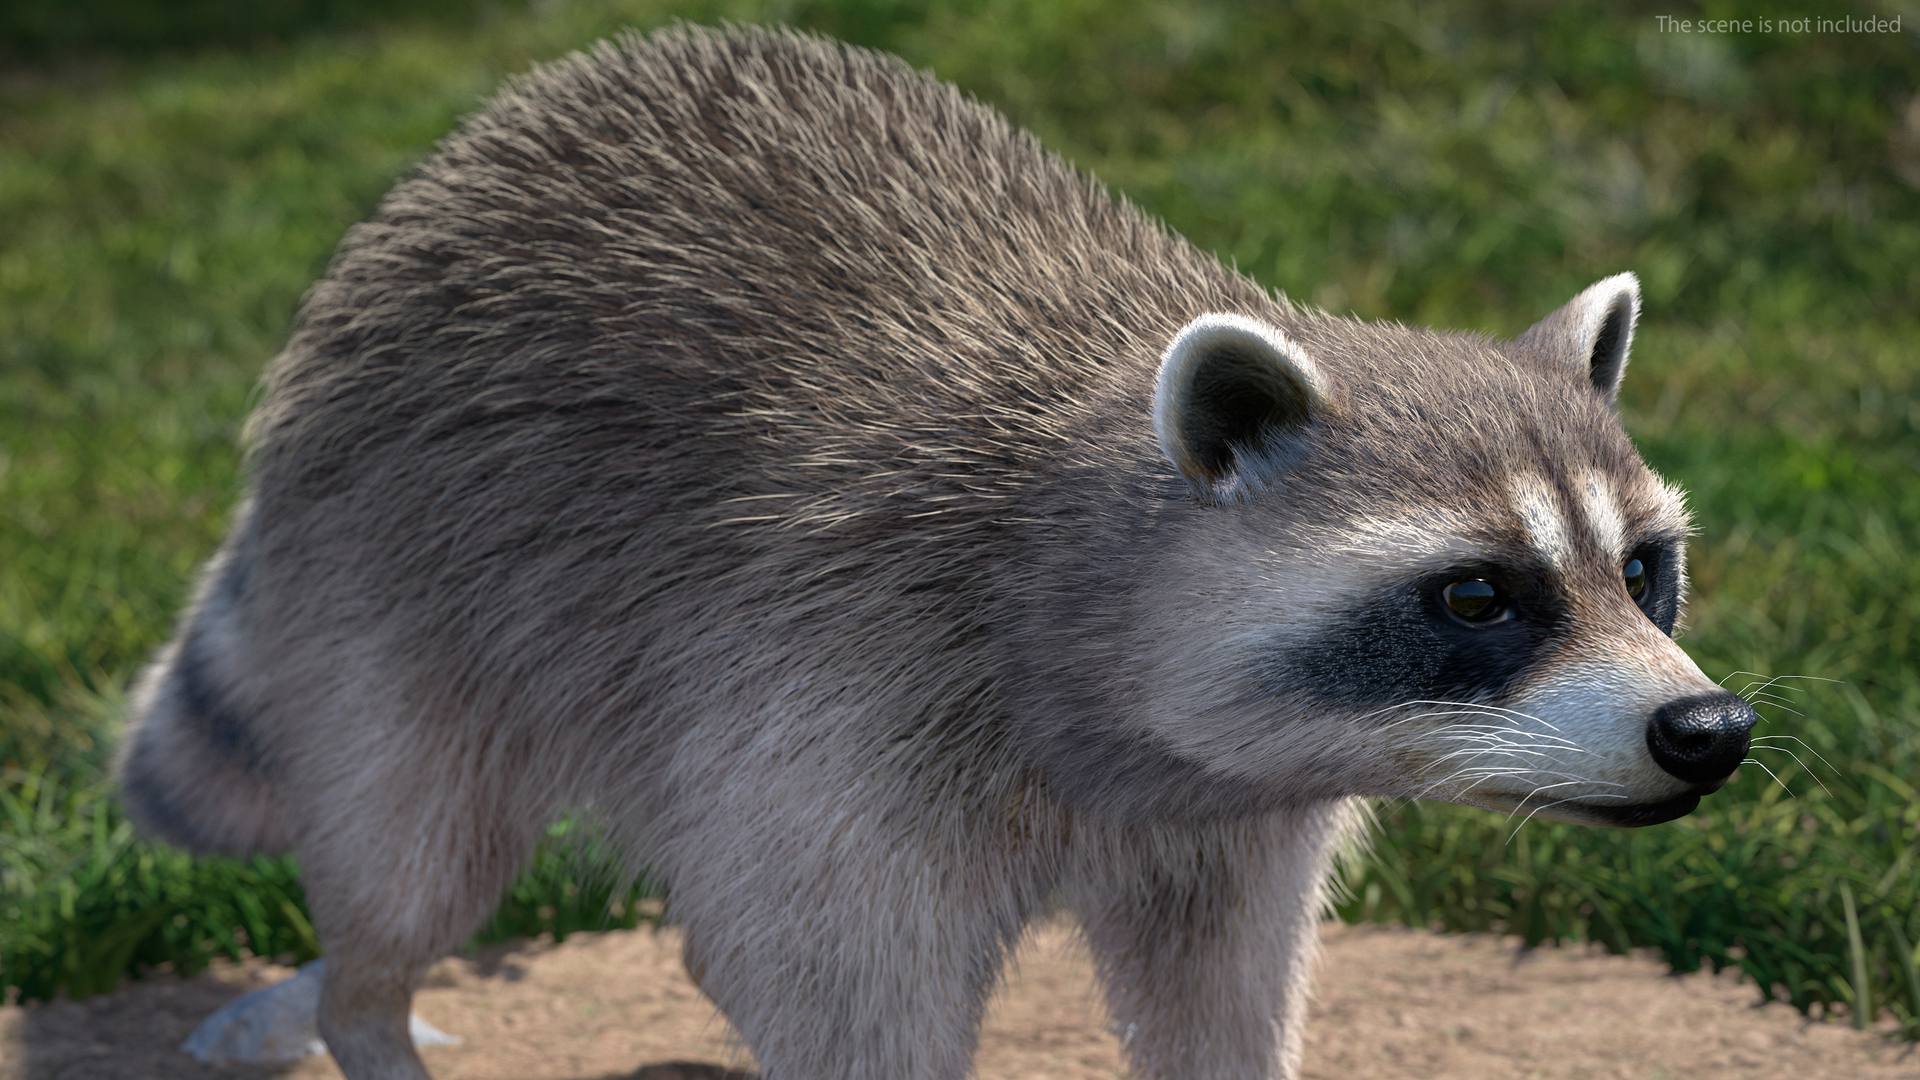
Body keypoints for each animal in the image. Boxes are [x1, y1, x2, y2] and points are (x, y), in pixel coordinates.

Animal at [117, 24, 1757, 1080]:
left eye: (1642, 570)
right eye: (1480, 594)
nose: (1709, 728)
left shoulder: (1228, 820)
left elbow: (1220, 998)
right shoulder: (833, 684)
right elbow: (844, 989)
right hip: (409, 584)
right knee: (413, 862)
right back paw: (368, 1011)